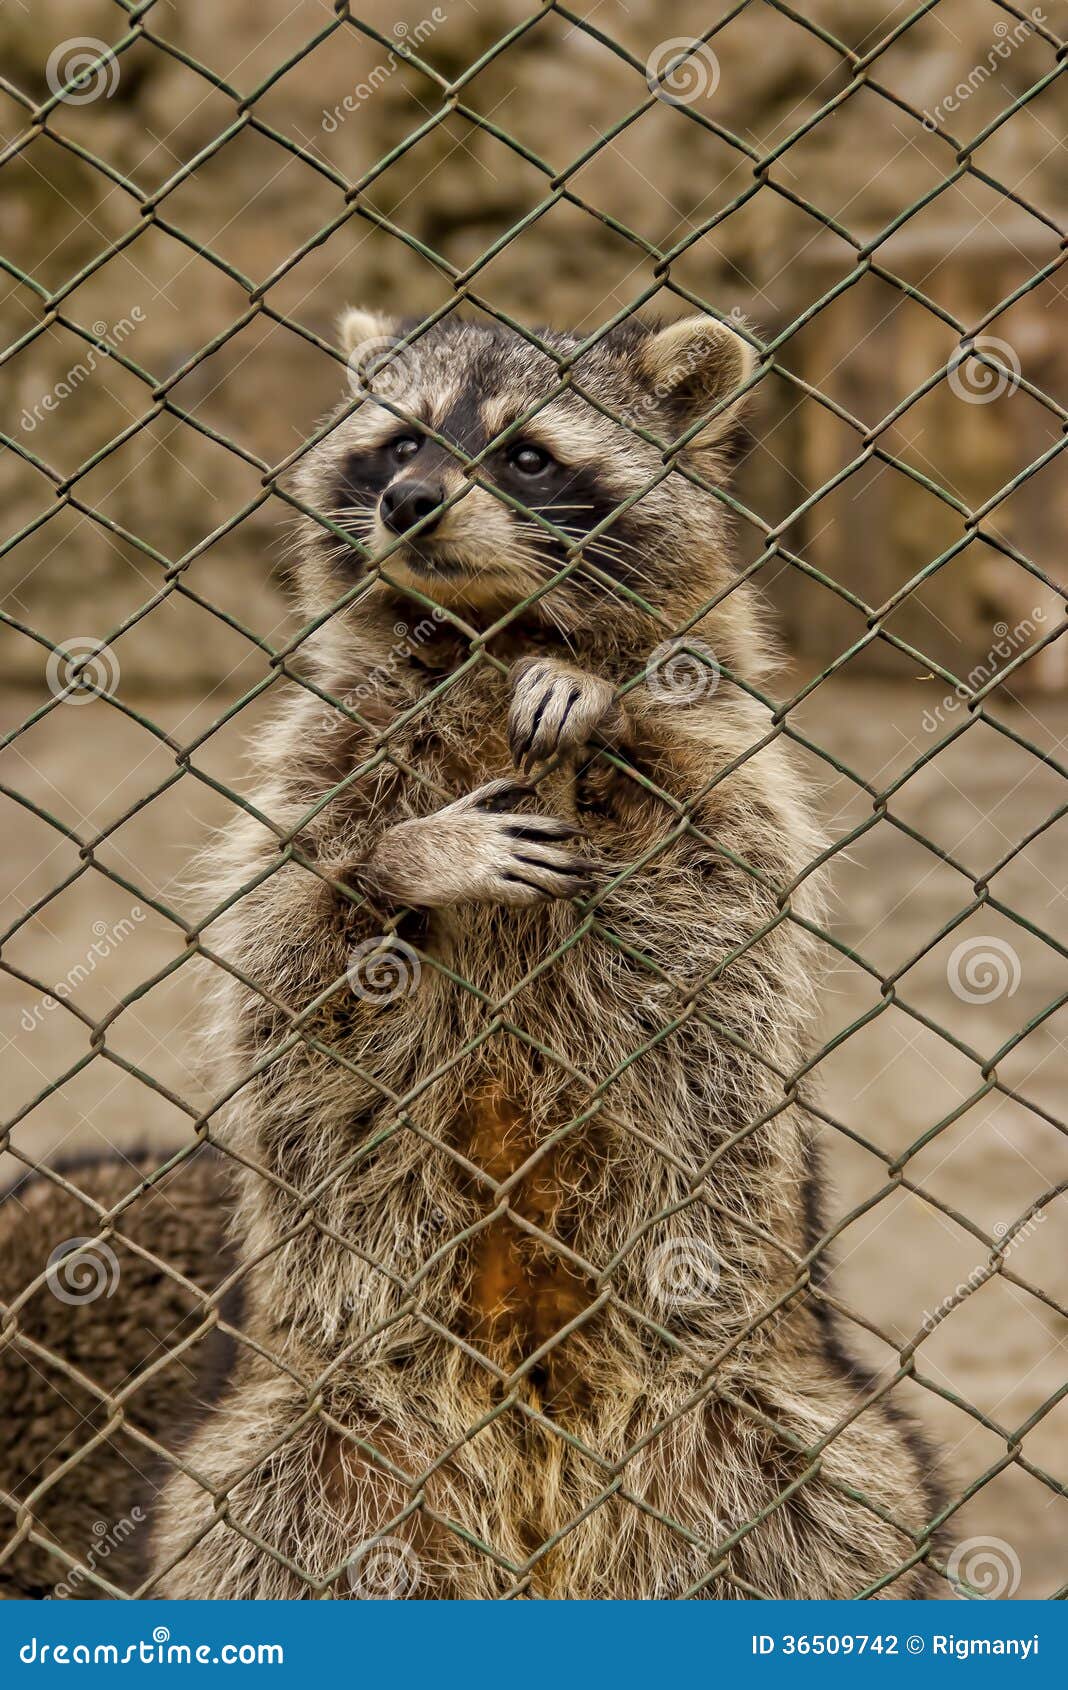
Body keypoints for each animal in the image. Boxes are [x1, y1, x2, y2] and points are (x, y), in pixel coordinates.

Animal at [5, 308, 944, 1598]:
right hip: (311, 1421)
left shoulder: (732, 758)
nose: (410, 500)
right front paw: (406, 863)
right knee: (249, 1516)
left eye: (529, 456)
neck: (489, 626)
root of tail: (533, 1496)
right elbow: (288, 948)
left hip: (748, 1395)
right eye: (400, 439)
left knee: (834, 1497)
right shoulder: (317, 764)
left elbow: (702, 865)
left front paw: (592, 694)